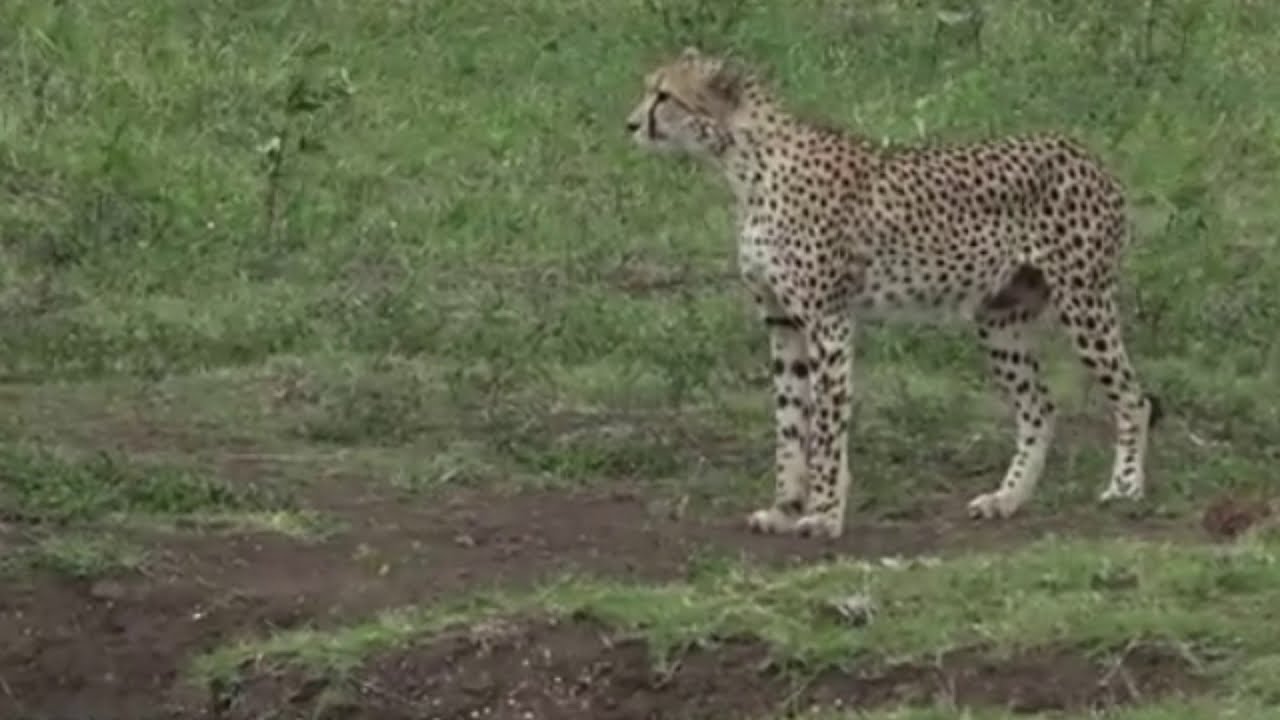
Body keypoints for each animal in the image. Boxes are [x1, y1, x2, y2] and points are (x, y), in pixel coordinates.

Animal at [623, 47, 1162, 540]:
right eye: (652, 90)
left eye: (664, 95)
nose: (630, 125)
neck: (745, 164)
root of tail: (1085, 152)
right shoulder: (783, 324)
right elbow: (790, 424)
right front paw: (785, 508)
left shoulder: (828, 323)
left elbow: (825, 427)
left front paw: (823, 514)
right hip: (1000, 319)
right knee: (1039, 409)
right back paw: (1006, 499)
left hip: (1083, 303)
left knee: (1133, 397)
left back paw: (1125, 487)